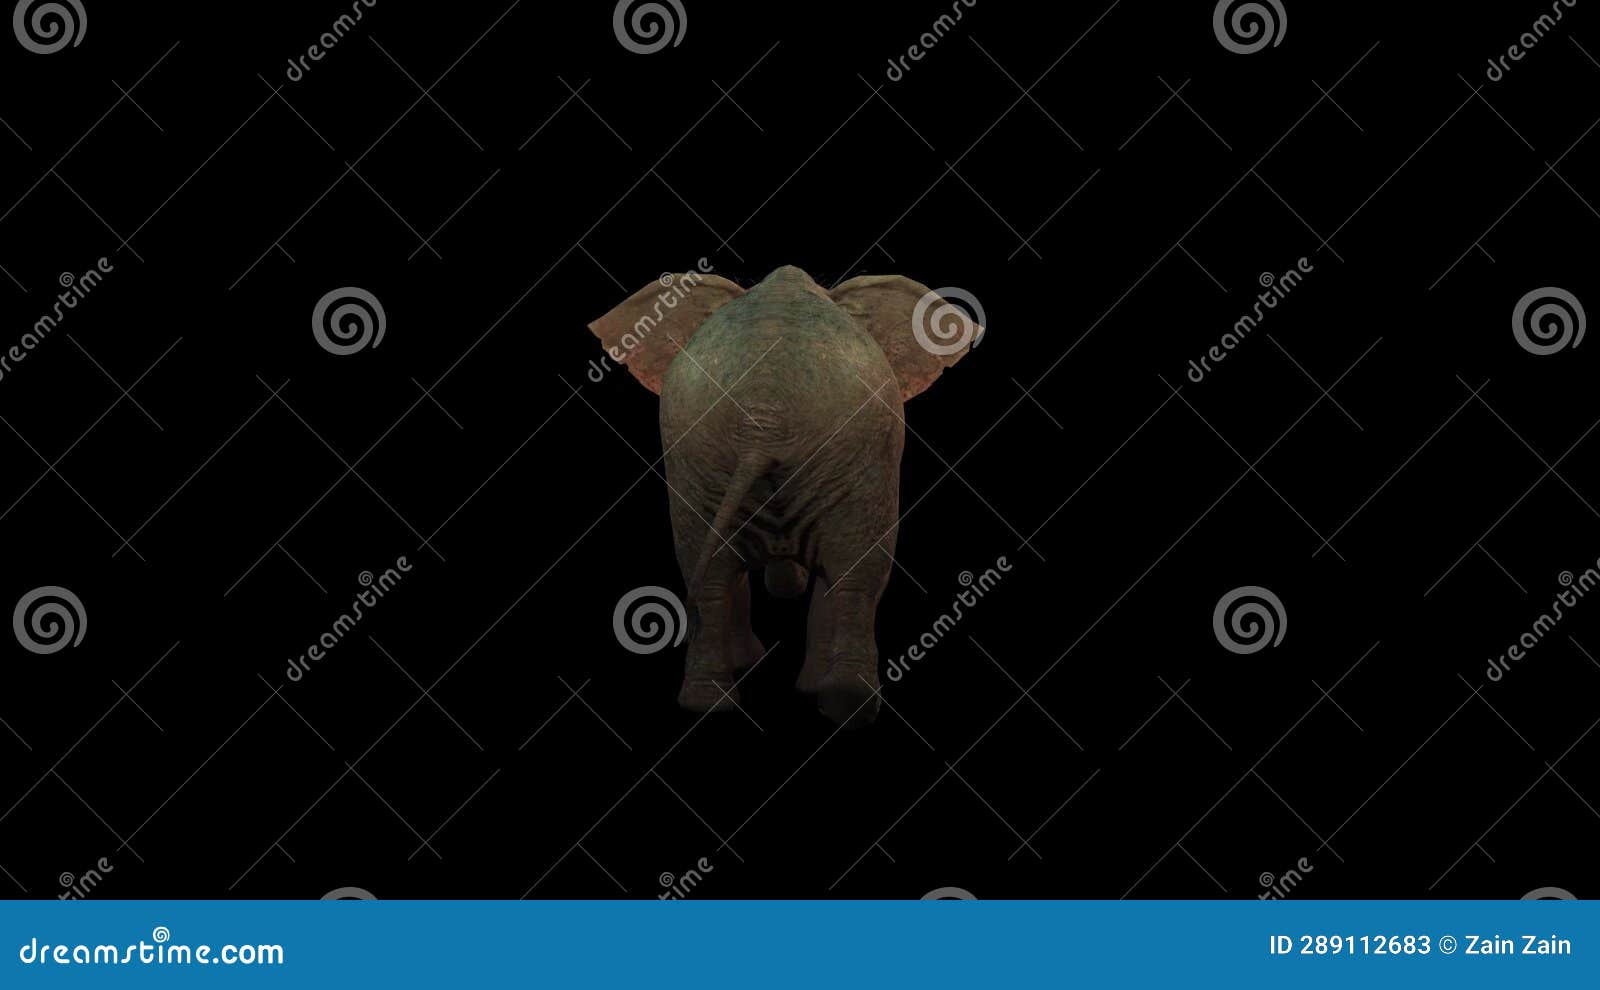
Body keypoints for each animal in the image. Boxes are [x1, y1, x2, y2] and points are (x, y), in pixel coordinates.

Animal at [589, 265, 982, 726]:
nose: (784, 582)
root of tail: (764, 419)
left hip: (717, 453)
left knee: (717, 572)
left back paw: (717, 704)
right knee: (853, 574)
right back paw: (841, 704)